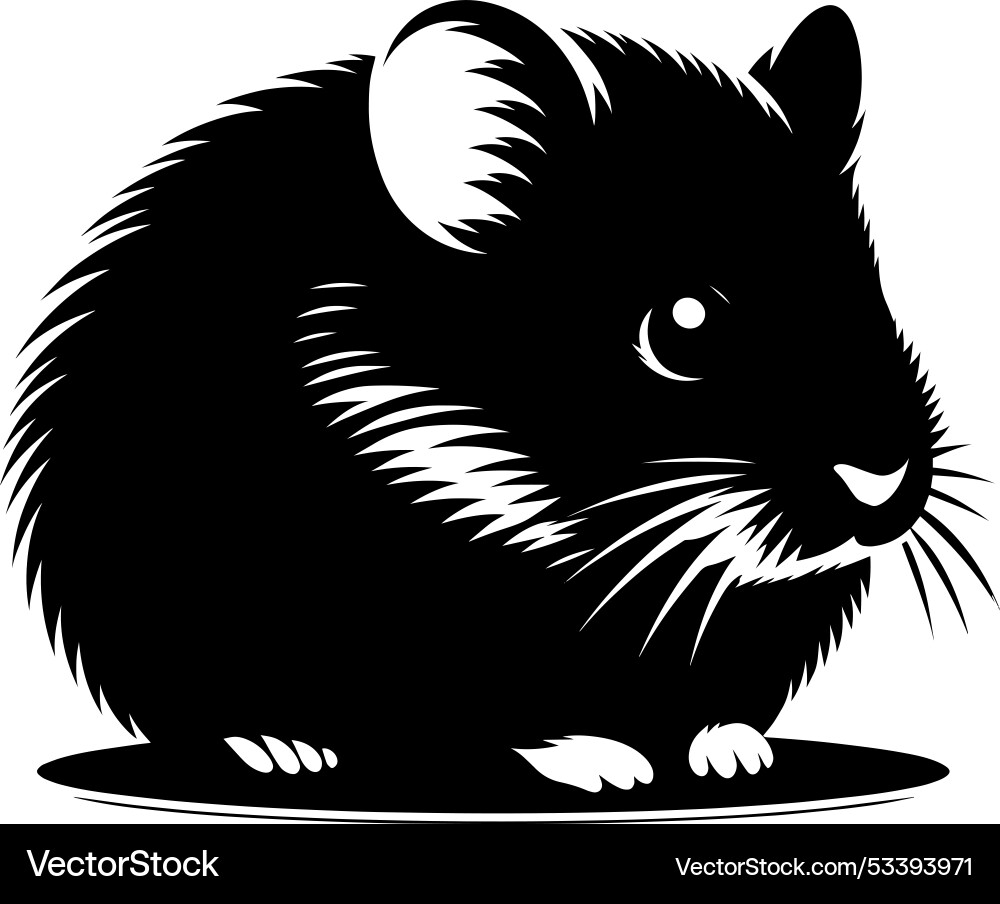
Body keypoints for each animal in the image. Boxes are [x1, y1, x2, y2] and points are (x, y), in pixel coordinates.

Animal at [5, 1, 992, 793]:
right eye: (684, 323)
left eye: (874, 294)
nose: (883, 484)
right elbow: (508, 710)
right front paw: (605, 766)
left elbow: (718, 707)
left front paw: (733, 754)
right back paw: (280, 749)